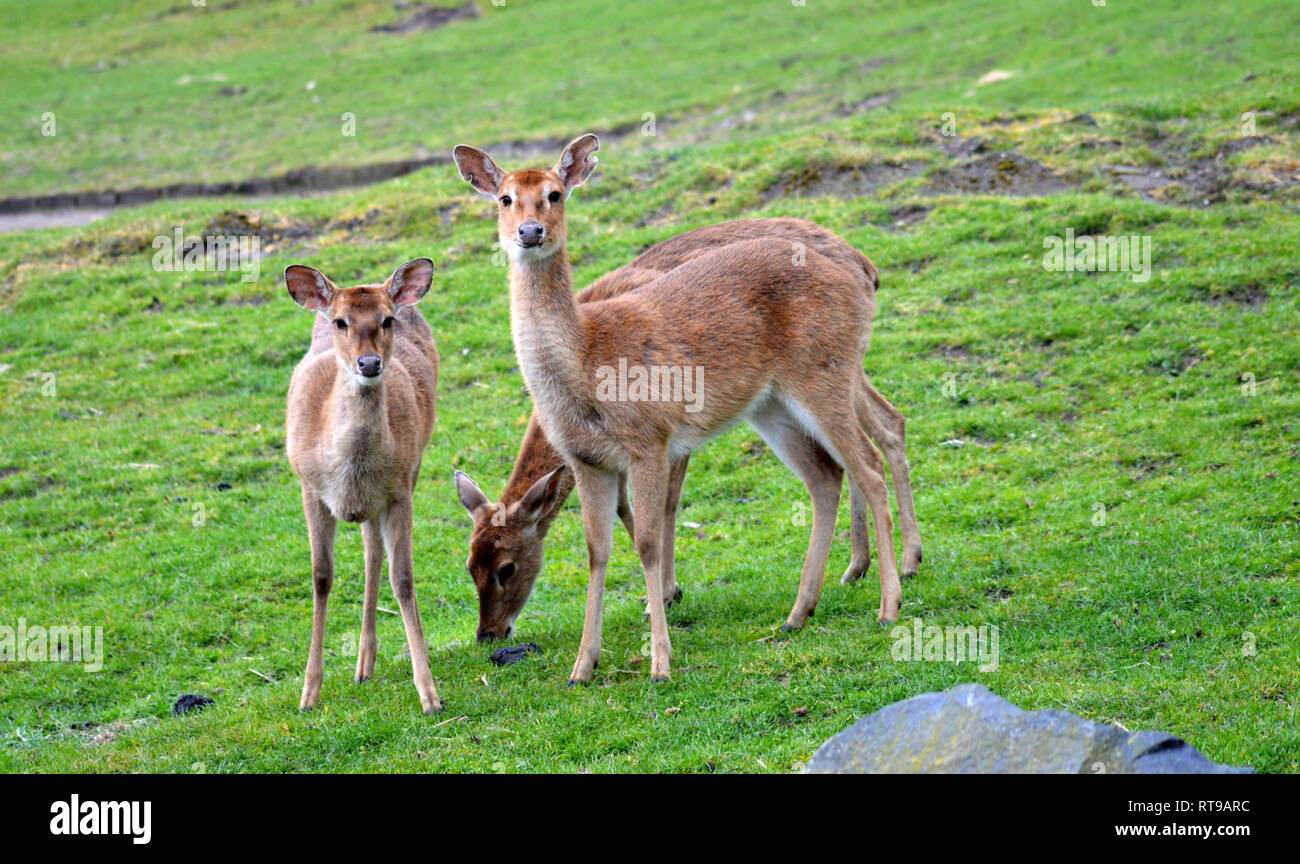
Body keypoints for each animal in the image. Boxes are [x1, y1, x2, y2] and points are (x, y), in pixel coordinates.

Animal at [284, 257, 442, 714]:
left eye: (387, 319)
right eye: (341, 321)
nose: (369, 364)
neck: (347, 471)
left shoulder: (400, 489)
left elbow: (403, 578)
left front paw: (430, 695)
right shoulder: (309, 489)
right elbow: (321, 577)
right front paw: (308, 694)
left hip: (410, 470)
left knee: (375, 553)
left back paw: (365, 664)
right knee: (371, 549)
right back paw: (362, 667)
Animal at [453, 134, 920, 685]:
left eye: (555, 194)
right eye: (504, 198)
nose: (530, 231)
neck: (587, 365)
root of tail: (862, 270)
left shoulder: (651, 441)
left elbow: (649, 539)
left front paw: (660, 658)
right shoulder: (588, 462)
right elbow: (597, 551)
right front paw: (583, 667)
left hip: (823, 373)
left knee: (866, 461)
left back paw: (889, 601)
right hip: (774, 404)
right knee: (830, 471)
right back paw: (799, 612)